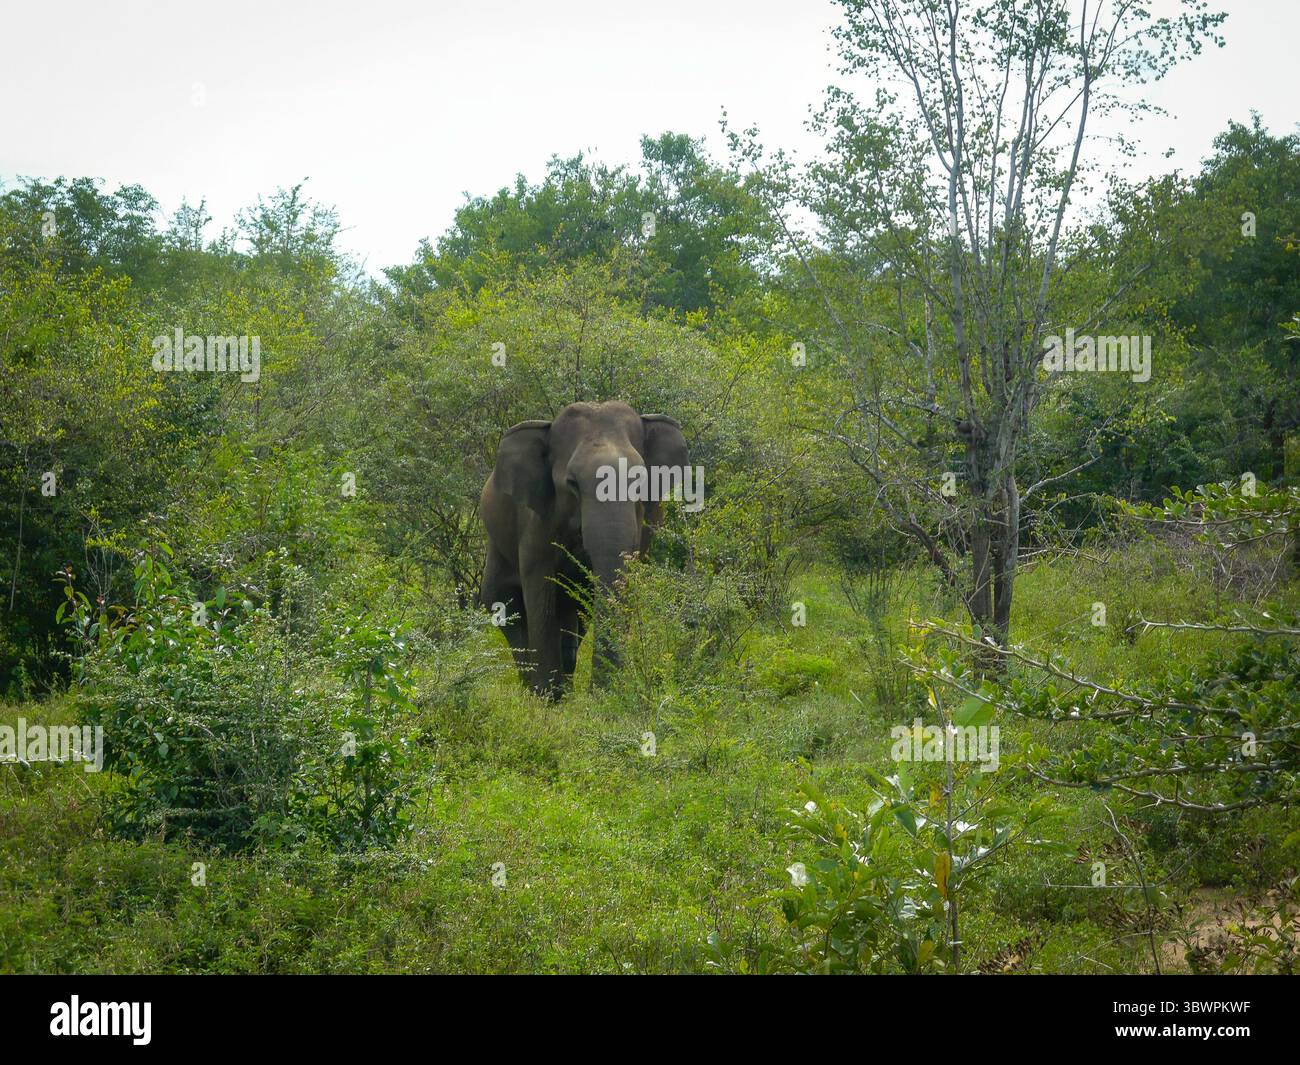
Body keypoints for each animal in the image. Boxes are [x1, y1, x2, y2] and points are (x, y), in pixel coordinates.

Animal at [479, 400, 689, 697]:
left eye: (640, 481)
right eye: (573, 483)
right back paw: (535, 688)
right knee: (505, 605)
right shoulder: (535, 521)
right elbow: (539, 591)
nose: (599, 693)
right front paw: (547, 697)